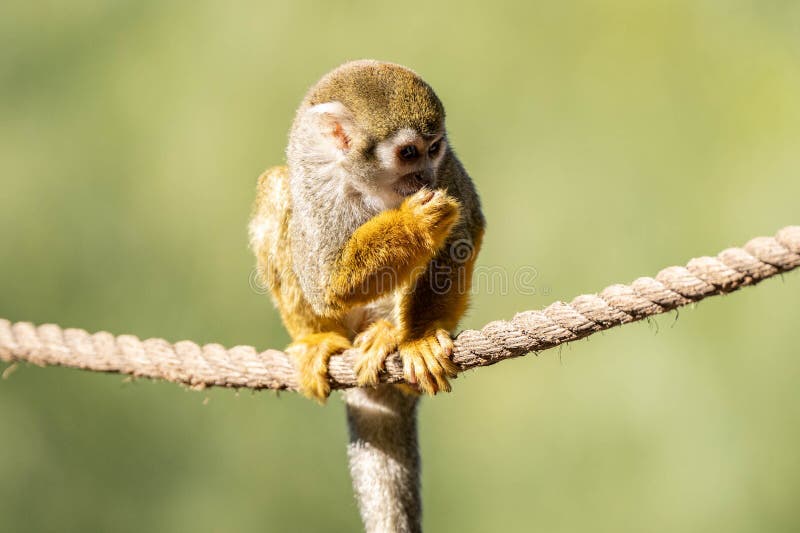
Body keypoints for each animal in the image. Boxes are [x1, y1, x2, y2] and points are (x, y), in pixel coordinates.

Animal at [249, 60, 484, 533]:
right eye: (408, 153)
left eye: (434, 149)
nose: (424, 177)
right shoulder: (317, 172)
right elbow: (324, 280)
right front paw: (416, 224)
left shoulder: (448, 173)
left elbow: (464, 229)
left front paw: (421, 335)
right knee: (277, 189)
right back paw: (319, 338)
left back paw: (392, 334)